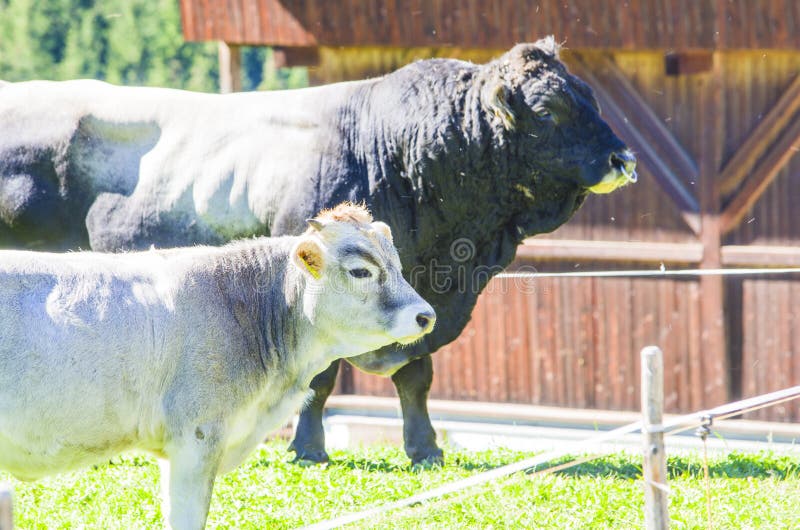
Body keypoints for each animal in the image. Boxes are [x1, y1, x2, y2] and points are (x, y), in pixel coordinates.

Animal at [0, 36, 636, 466]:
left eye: (590, 96)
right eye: (549, 110)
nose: (623, 158)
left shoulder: (418, 298)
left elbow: (417, 374)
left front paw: (425, 448)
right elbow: (321, 380)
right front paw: (308, 449)